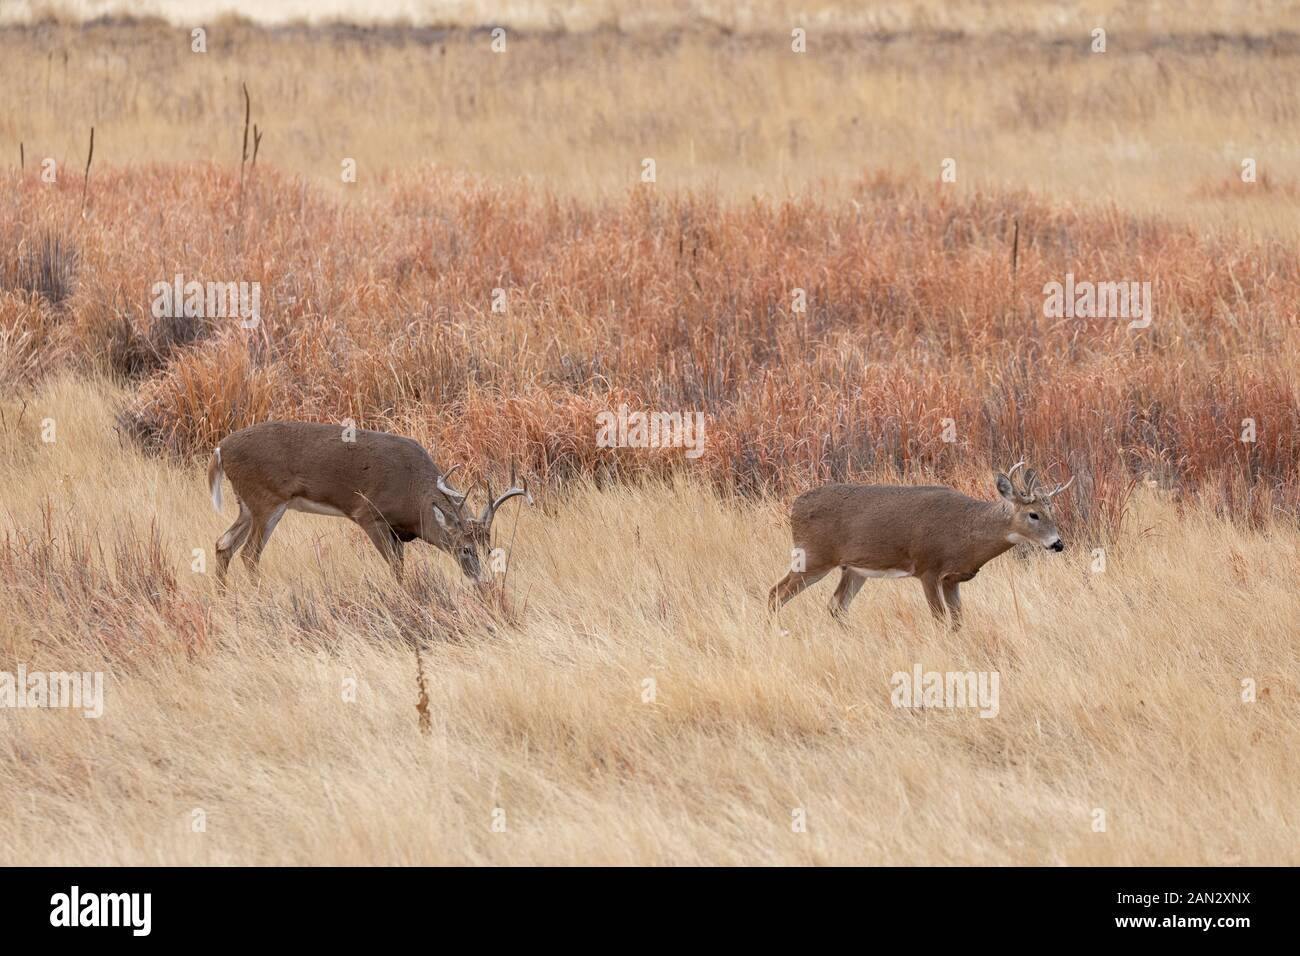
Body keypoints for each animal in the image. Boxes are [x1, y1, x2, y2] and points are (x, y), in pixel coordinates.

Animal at [206, 421, 531, 584]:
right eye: (464, 548)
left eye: (489, 549)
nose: (483, 582)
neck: (413, 494)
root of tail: (221, 448)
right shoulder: (368, 514)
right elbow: (396, 569)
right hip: (267, 500)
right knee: (249, 554)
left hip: (247, 505)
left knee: (223, 544)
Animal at [768, 462, 1074, 627]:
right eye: (1033, 514)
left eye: (1052, 510)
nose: (1057, 544)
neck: (966, 532)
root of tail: (794, 506)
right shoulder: (927, 568)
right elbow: (938, 619)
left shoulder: (953, 578)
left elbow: (957, 621)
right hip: (813, 556)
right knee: (776, 593)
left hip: (853, 569)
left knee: (836, 605)